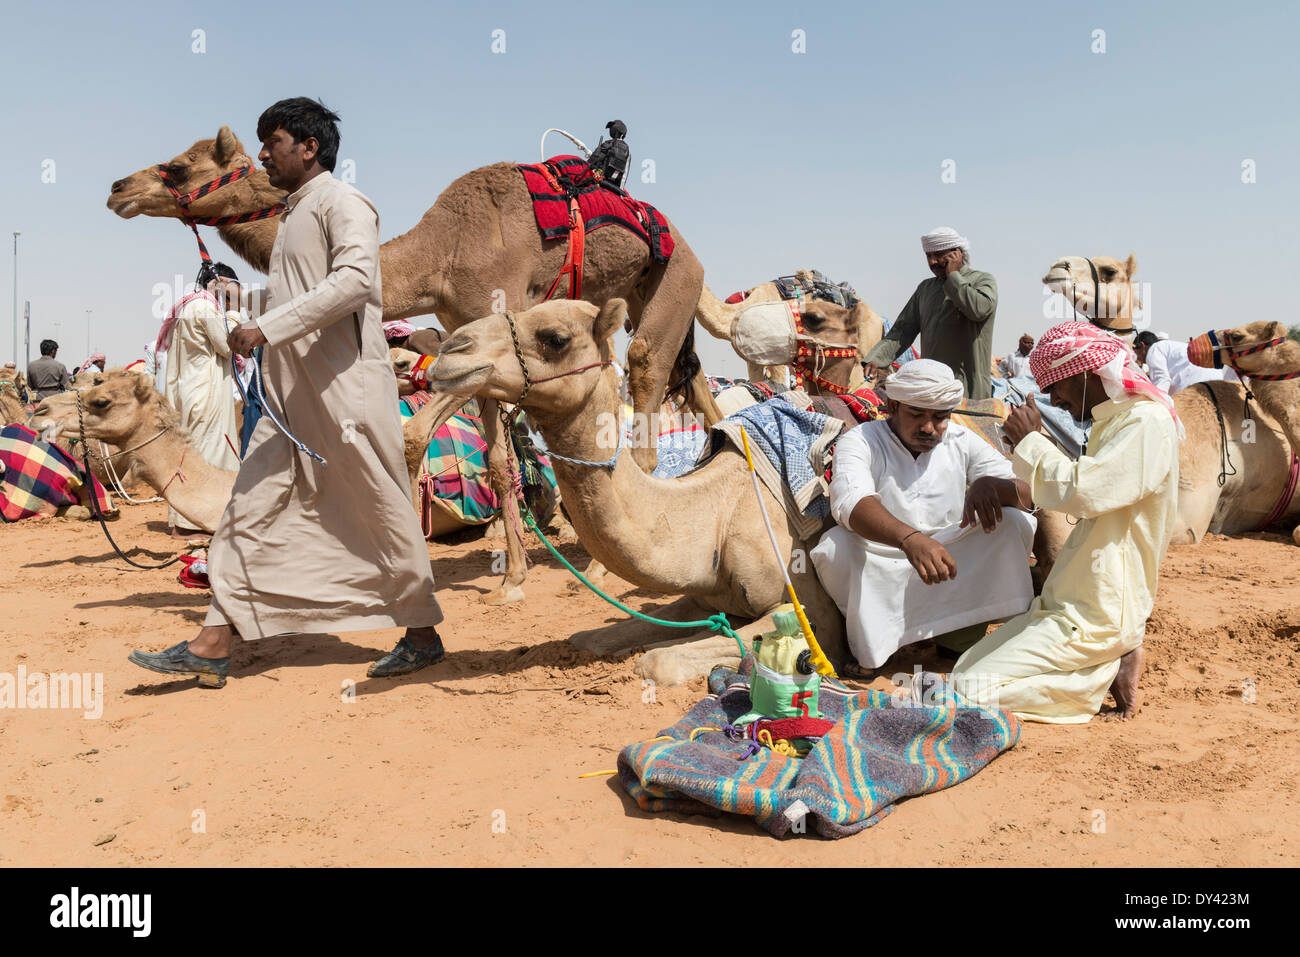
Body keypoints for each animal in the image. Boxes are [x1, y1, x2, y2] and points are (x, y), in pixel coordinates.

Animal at [106, 125, 721, 604]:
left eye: (180, 166)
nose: (117, 188)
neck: (441, 256)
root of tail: (689, 250)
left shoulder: (488, 327)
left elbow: (412, 436)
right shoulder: (472, 337)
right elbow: (498, 462)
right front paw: (512, 577)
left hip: (673, 282)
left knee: (644, 379)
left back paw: (600, 568)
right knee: (692, 390)